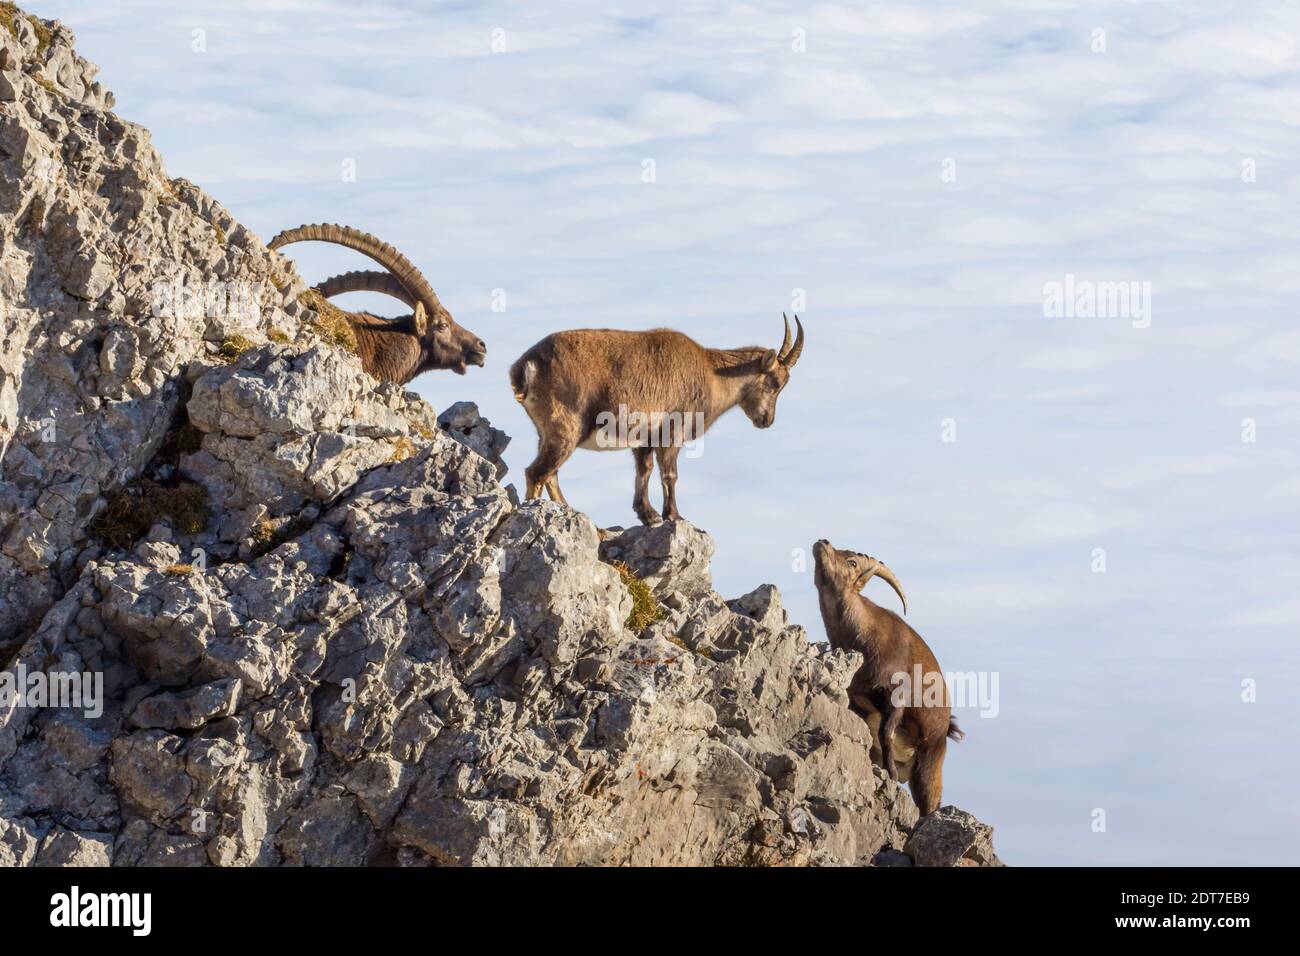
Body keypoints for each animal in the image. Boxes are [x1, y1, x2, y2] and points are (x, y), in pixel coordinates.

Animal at [509, 315, 804, 524]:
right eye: (775, 383)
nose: (766, 420)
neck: (712, 373)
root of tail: (525, 366)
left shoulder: (644, 438)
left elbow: (645, 470)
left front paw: (647, 514)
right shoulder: (672, 431)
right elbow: (669, 474)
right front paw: (673, 515)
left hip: (545, 432)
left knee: (550, 474)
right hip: (565, 430)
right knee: (537, 472)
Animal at [812, 539, 962, 816]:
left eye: (852, 562)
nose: (823, 542)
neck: (863, 635)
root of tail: (948, 728)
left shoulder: (895, 696)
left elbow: (886, 734)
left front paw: (890, 775)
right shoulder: (857, 701)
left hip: (928, 763)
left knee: (929, 802)